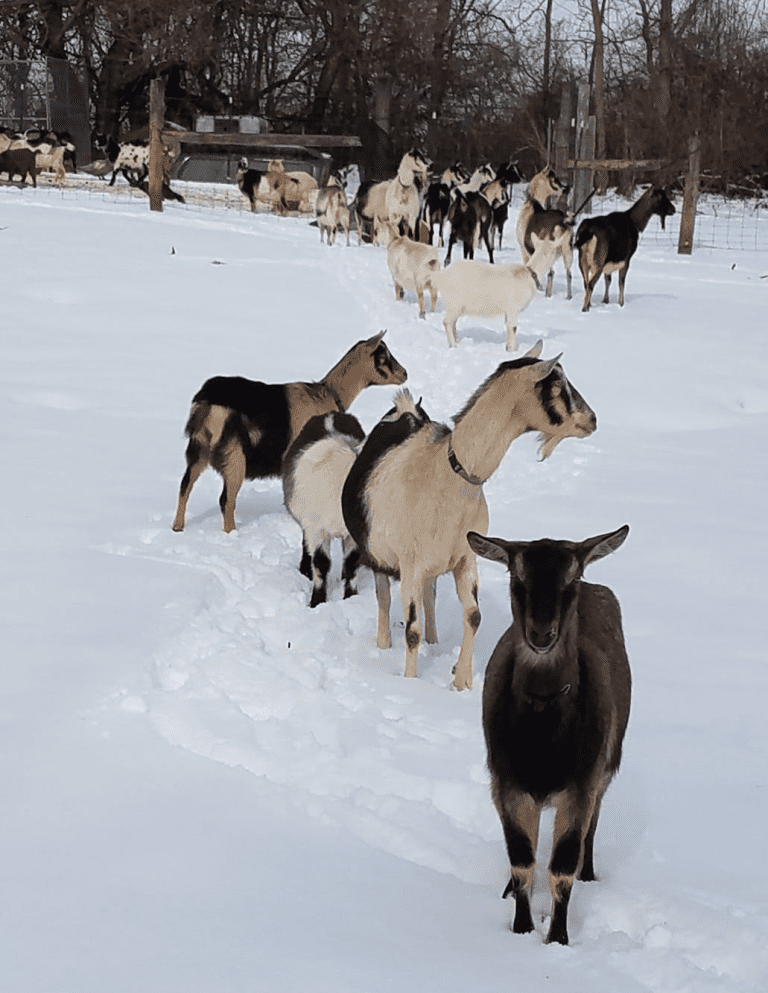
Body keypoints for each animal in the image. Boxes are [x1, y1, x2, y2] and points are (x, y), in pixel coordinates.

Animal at [172, 332, 407, 533]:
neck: (328, 394)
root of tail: (207, 402)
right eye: (383, 356)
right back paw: (232, 533)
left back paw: (177, 527)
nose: (404, 374)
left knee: (185, 486)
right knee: (226, 500)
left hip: (198, 448)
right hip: (234, 454)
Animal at [341, 341, 596, 690]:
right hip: (378, 554)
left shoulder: (466, 557)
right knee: (384, 599)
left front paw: (461, 681)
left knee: (430, 595)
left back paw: (435, 642)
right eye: (556, 387)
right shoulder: (410, 563)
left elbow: (474, 615)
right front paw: (410, 683)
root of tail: (404, 409)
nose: (592, 420)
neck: (450, 474)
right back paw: (383, 645)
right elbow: (410, 631)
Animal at [431, 227, 571, 351]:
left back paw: (457, 340)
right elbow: (513, 328)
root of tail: (441, 275)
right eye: (556, 250)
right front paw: (513, 351)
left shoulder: (508, 311)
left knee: (453, 322)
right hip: (455, 302)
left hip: (455, 305)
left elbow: (508, 328)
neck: (530, 274)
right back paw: (453, 345)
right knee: (447, 322)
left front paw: (507, 348)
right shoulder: (514, 309)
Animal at [466, 524, 630, 945]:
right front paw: (522, 927)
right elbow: (522, 860)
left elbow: (562, 866)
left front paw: (557, 937)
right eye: (516, 577)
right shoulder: (507, 781)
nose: (542, 635)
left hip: (605, 768)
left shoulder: (581, 783)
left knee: (591, 828)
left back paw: (589, 872)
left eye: (571, 578)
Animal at [516, 167, 573, 299]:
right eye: (555, 179)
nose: (567, 188)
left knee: (551, 273)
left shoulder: (524, 251)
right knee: (568, 274)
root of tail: (562, 221)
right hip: (568, 252)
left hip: (549, 251)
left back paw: (548, 294)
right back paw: (568, 296)